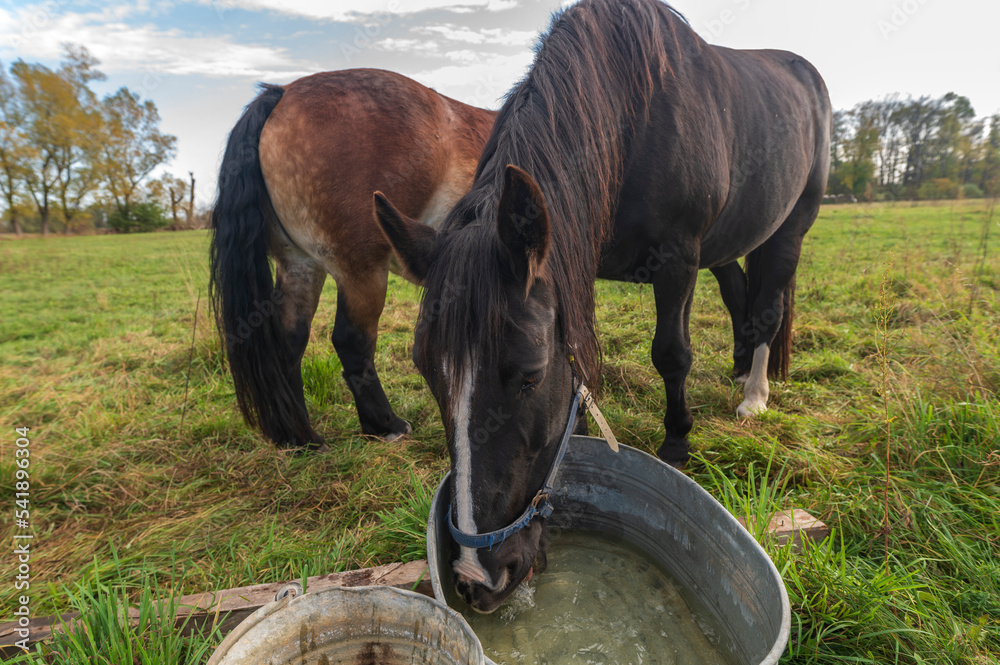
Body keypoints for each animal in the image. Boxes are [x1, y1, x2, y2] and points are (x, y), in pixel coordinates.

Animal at [209, 69, 496, 449]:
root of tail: (281, 94)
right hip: (361, 271)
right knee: (352, 341)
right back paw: (384, 424)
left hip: (301, 266)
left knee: (290, 339)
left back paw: (301, 437)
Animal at [374, 0, 830, 612]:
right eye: (426, 372)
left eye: (529, 375)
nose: (476, 578)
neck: (634, 120)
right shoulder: (576, 255)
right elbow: (585, 368)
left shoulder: (678, 259)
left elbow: (671, 353)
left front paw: (677, 442)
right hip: (729, 245)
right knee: (742, 298)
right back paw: (739, 375)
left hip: (789, 229)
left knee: (769, 309)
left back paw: (754, 396)